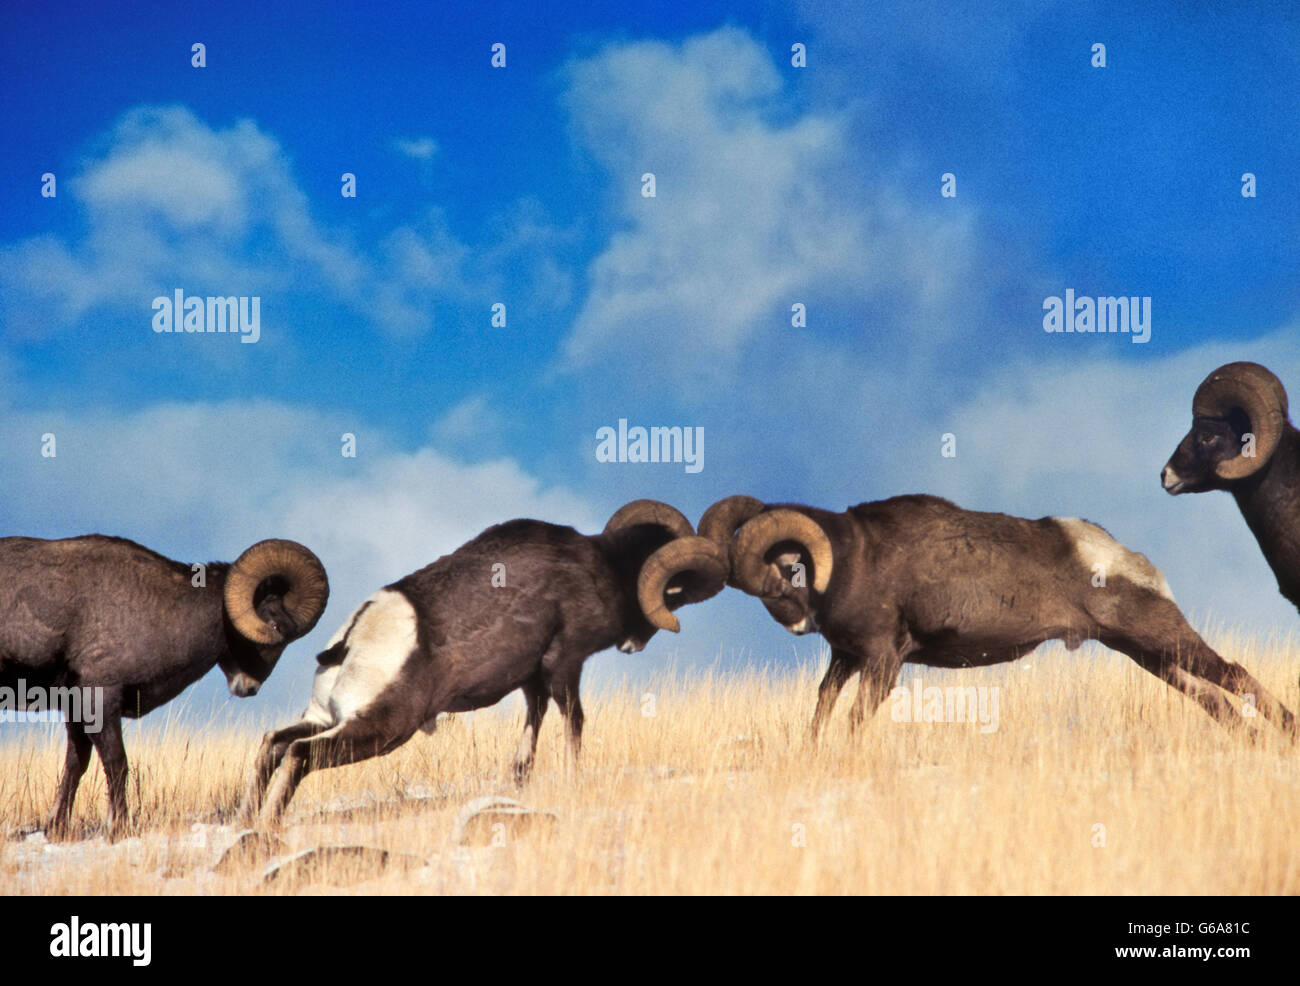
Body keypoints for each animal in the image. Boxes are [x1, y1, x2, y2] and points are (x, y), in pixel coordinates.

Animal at [0, 536, 328, 838]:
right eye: (276, 625)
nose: (249, 688)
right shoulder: (100, 699)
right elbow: (116, 763)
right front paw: (119, 828)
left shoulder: (76, 708)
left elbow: (75, 764)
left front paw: (56, 829)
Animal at [240, 500, 728, 830]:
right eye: (674, 593)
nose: (634, 644)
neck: (597, 569)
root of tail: (351, 640)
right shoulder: (564, 665)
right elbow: (574, 725)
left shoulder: (533, 681)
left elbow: (528, 746)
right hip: (383, 728)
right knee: (300, 754)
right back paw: (268, 829)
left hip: (326, 718)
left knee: (275, 744)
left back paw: (246, 823)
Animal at [700, 494, 1297, 741]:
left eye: (788, 568)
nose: (793, 624)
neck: (854, 560)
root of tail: (1126, 558)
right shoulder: (845, 657)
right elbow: (822, 710)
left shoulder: (883, 660)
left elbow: (852, 719)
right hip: (1148, 655)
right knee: (1213, 701)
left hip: (1159, 638)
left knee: (1233, 675)